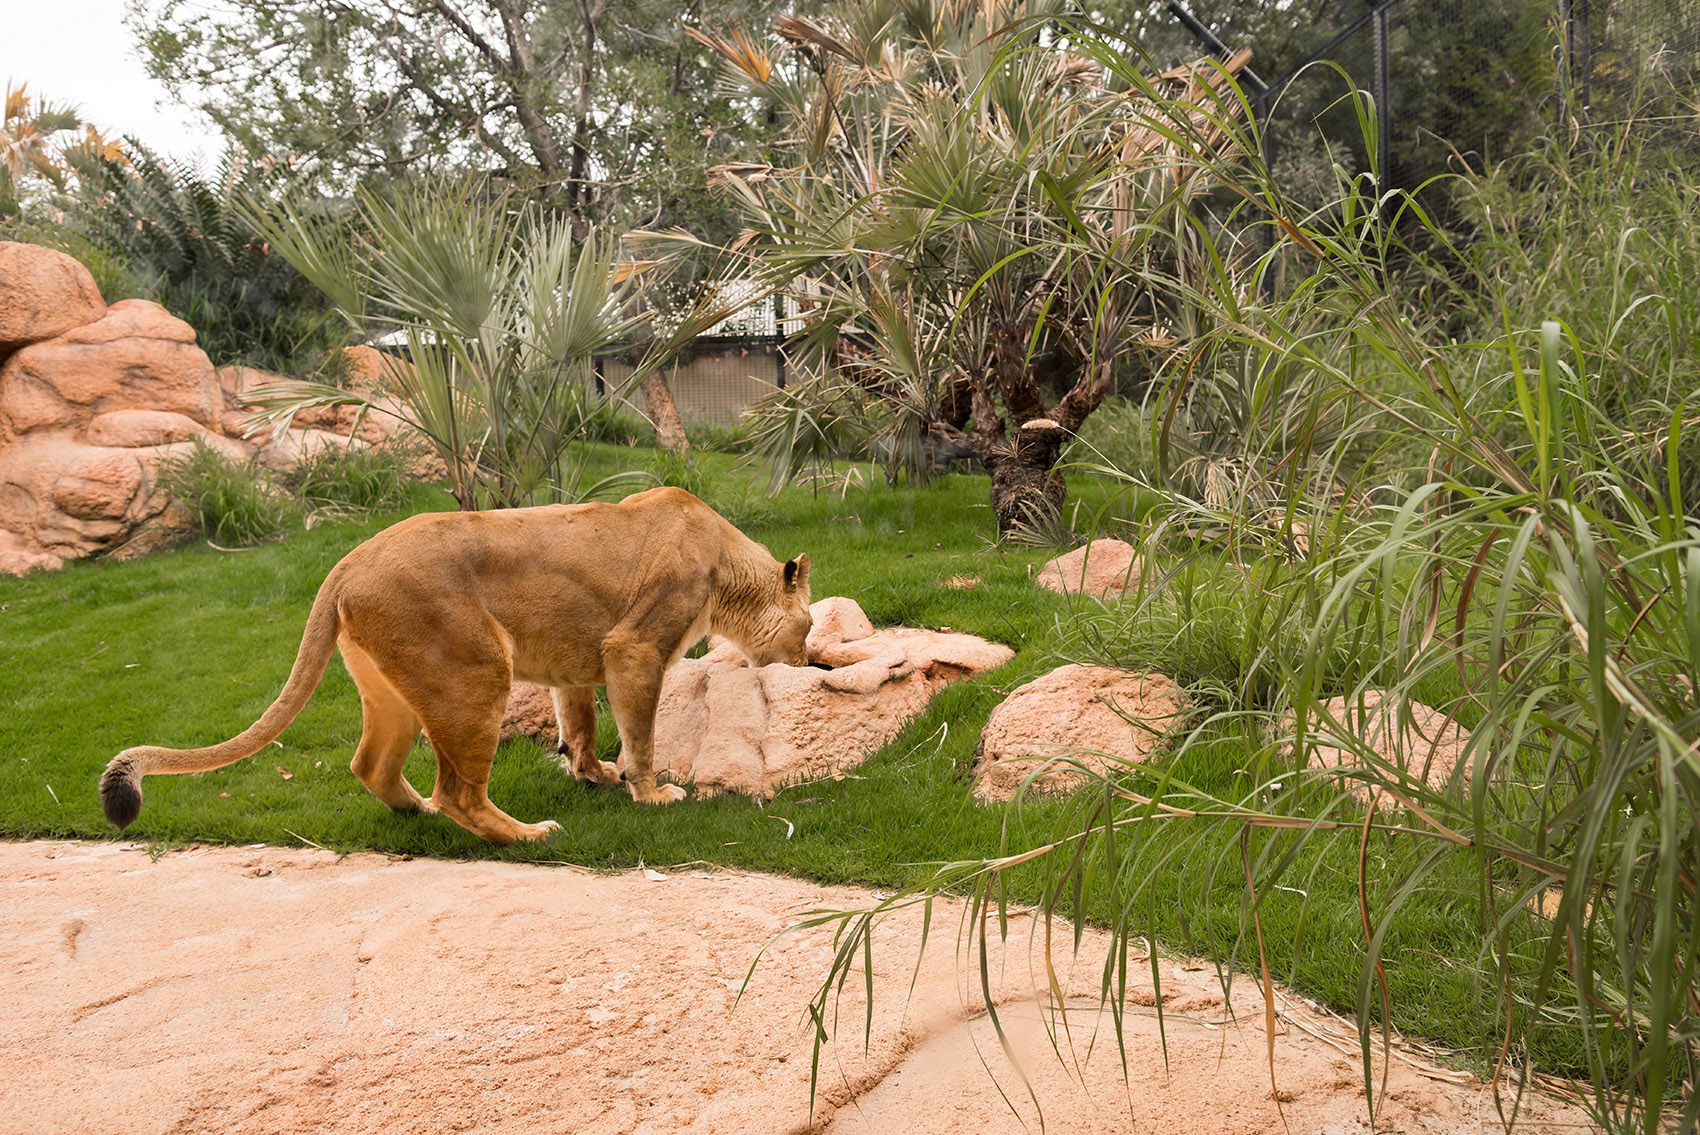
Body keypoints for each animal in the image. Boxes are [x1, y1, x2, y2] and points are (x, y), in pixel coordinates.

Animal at [99, 486, 813, 844]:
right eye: (807, 626)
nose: (809, 661)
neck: (726, 568)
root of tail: (347, 562)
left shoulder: (580, 662)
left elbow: (579, 724)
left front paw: (593, 774)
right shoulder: (634, 648)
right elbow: (639, 734)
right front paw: (651, 792)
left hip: (396, 690)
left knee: (371, 764)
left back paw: (414, 811)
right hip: (474, 672)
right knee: (460, 792)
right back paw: (526, 834)